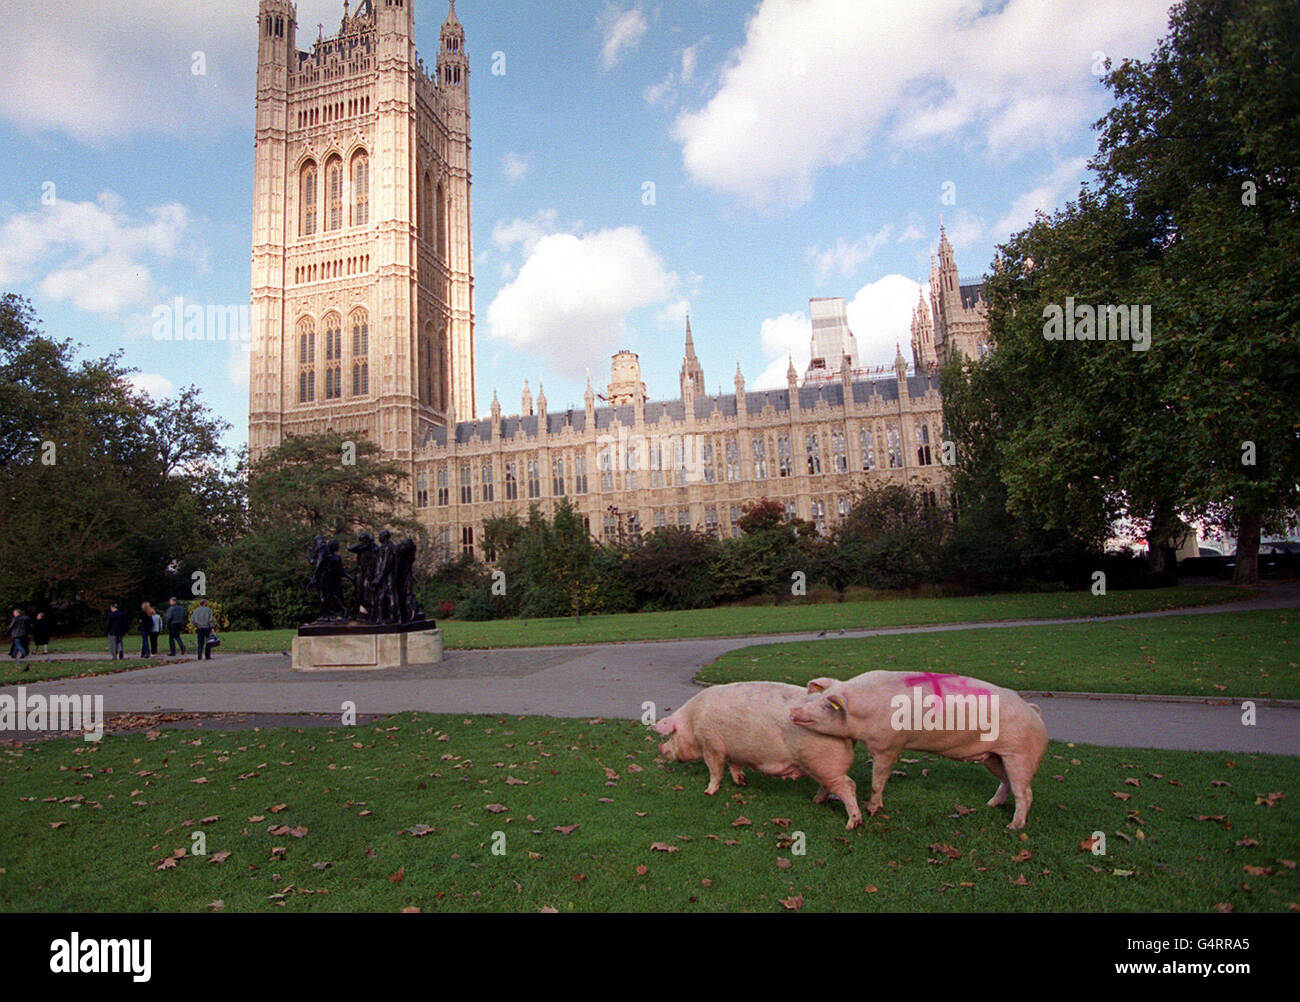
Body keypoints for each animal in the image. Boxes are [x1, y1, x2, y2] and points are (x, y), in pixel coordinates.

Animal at [653, 682, 862, 828]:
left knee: (849, 785)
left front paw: (708, 792)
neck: (692, 722)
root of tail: (846, 728)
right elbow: (734, 767)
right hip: (822, 768)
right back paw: (815, 801)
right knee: (828, 787)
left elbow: (715, 771)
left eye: (672, 734)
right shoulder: (734, 752)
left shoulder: (711, 746)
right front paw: (742, 782)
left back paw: (851, 825)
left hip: (824, 765)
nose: (661, 749)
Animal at [788, 671, 1048, 829]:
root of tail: (1034, 711)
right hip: (993, 757)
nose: (793, 711)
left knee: (1025, 792)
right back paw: (991, 804)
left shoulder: (889, 745)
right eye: (817, 697)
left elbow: (878, 781)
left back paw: (1012, 826)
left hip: (1020, 756)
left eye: (826, 705)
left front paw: (872, 810)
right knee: (1007, 782)